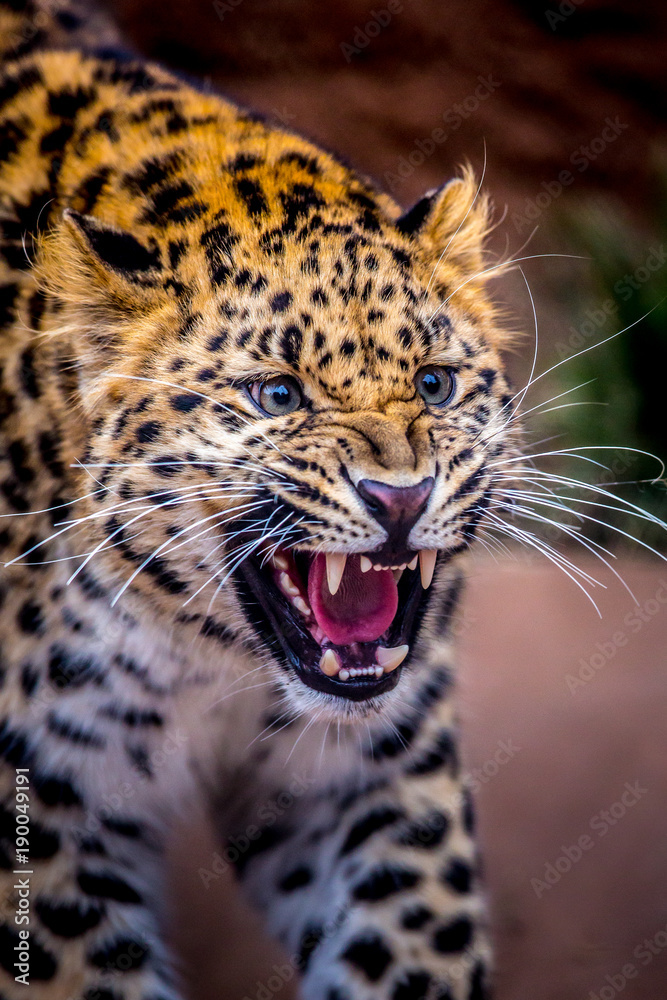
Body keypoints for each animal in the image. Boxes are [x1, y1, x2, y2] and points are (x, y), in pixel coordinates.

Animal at [0, 2, 522, 998]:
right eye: (278, 396)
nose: (400, 496)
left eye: (433, 385)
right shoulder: (45, 803)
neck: (209, 661)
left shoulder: (371, 771)